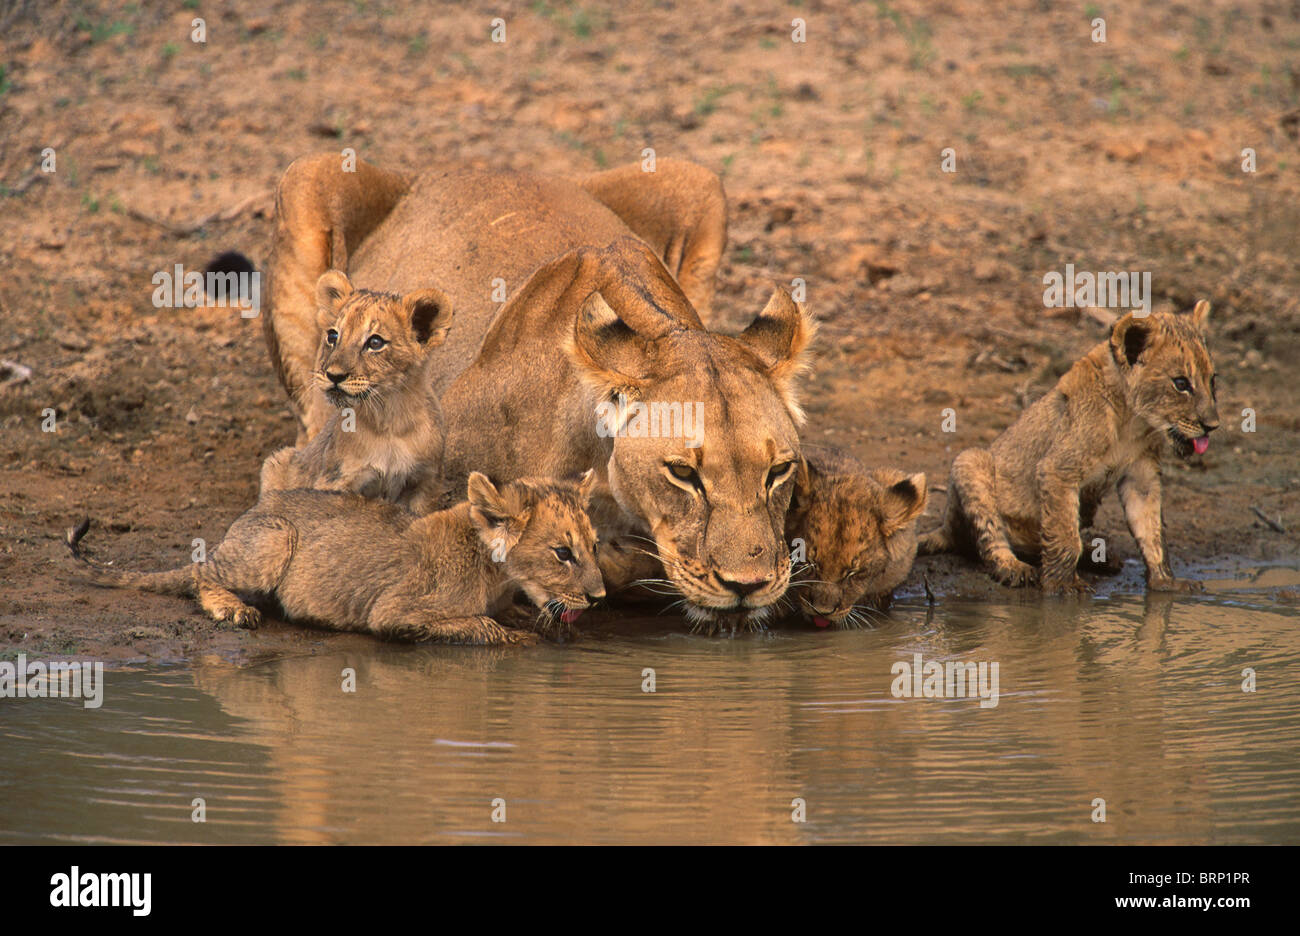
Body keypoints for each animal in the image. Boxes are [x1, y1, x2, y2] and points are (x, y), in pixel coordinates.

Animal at [66, 471, 605, 645]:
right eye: (562, 552)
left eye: (595, 545)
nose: (600, 597)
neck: (496, 575)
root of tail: (255, 510)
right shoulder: (393, 611)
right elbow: (478, 625)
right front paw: (519, 636)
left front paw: (532, 619)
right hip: (274, 539)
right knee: (200, 576)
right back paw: (234, 609)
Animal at [259, 270, 453, 513]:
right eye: (333, 336)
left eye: (375, 342)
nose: (333, 375)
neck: (389, 418)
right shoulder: (335, 479)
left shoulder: (426, 484)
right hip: (277, 461)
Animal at [918, 301, 1220, 593]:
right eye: (1181, 383)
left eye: (1212, 381)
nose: (1212, 426)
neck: (1133, 420)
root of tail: (945, 525)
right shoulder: (1058, 469)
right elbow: (1064, 536)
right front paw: (1061, 587)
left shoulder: (1141, 476)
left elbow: (1151, 530)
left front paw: (1165, 582)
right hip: (970, 461)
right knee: (989, 540)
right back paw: (1015, 569)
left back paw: (1101, 558)